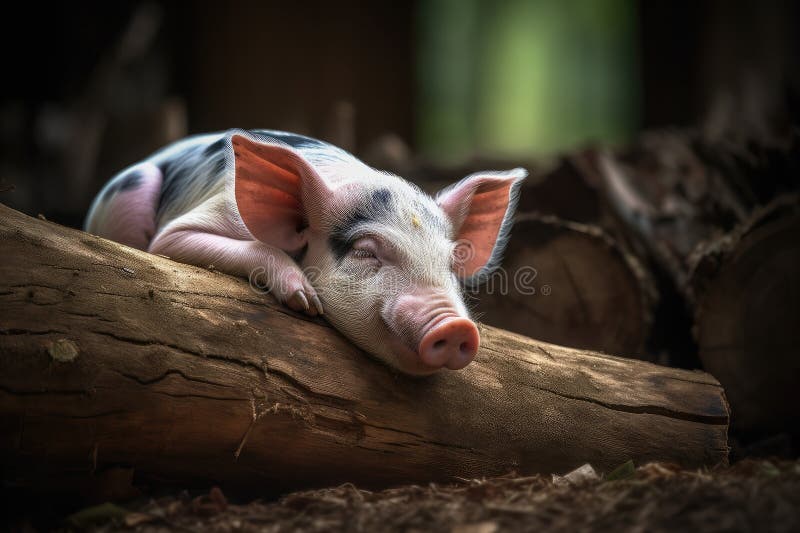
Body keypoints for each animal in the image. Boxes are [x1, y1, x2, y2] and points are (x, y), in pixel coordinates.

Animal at [85, 129, 526, 375]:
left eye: (450, 262)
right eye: (365, 252)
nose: (458, 327)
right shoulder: (190, 227)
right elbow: (172, 243)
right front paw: (305, 300)